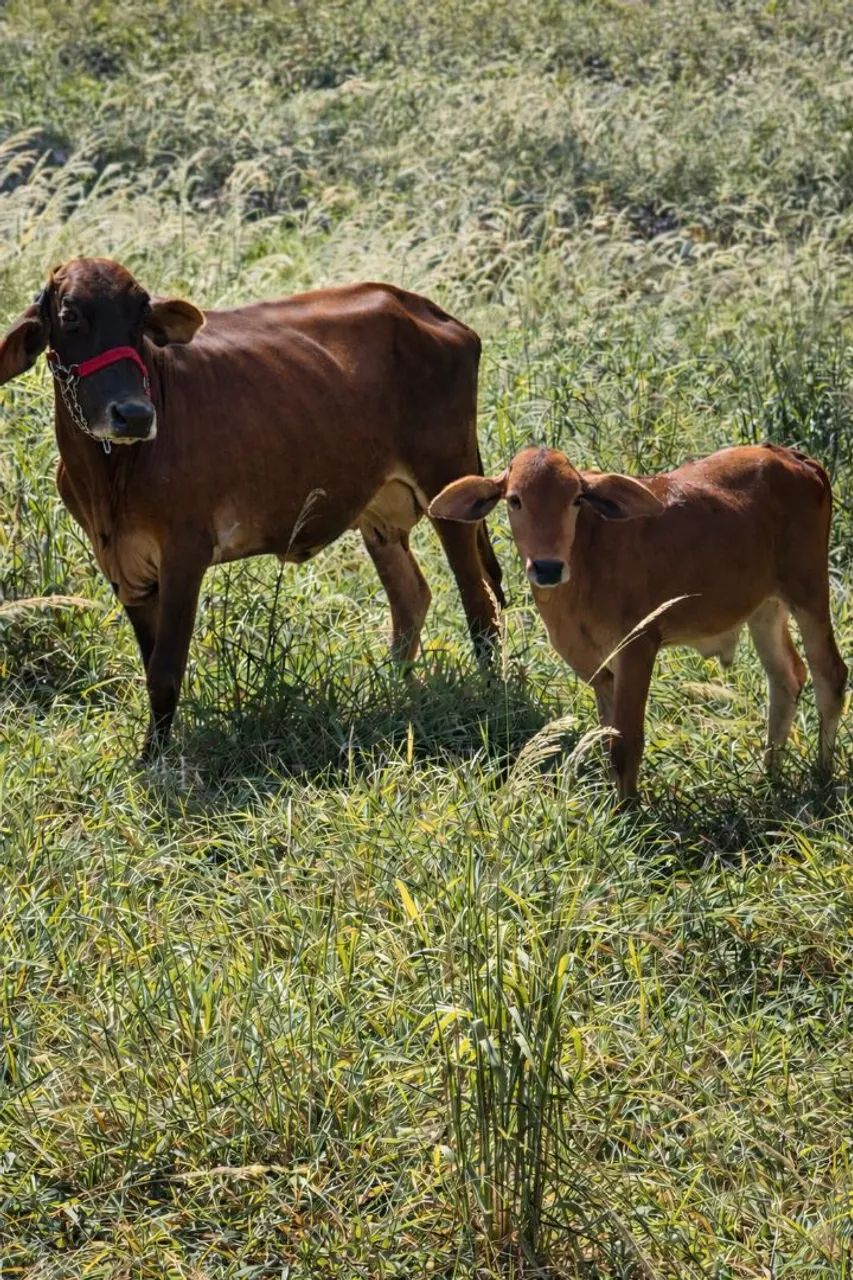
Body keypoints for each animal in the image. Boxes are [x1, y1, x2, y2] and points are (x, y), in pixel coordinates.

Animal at [0, 258, 504, 758]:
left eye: (142, 317)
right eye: (70, 315)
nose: (135, 415)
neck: (111, 476)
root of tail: (426, 309)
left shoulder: (185, 551)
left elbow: (165, 671)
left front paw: (156, 761)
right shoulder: (122, 566)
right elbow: (151, 665)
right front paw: (154, 751)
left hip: (449, 484)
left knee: (480, 604)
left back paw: (490, 698)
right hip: (380, 513)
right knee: (411, 597)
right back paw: (401, 695)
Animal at [429, 443, 848, 801]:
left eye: (576, 499)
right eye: (515, 499)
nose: (548, 567)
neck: (586, 559)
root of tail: (793, 457)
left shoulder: (638, 646)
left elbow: (626, 743)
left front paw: (628, 813)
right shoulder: (596, 666)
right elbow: (606, 736)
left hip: (809, 591)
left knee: (830, 675)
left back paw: (822, 774)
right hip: (765, 608)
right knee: (787, 677)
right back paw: (769, 775)